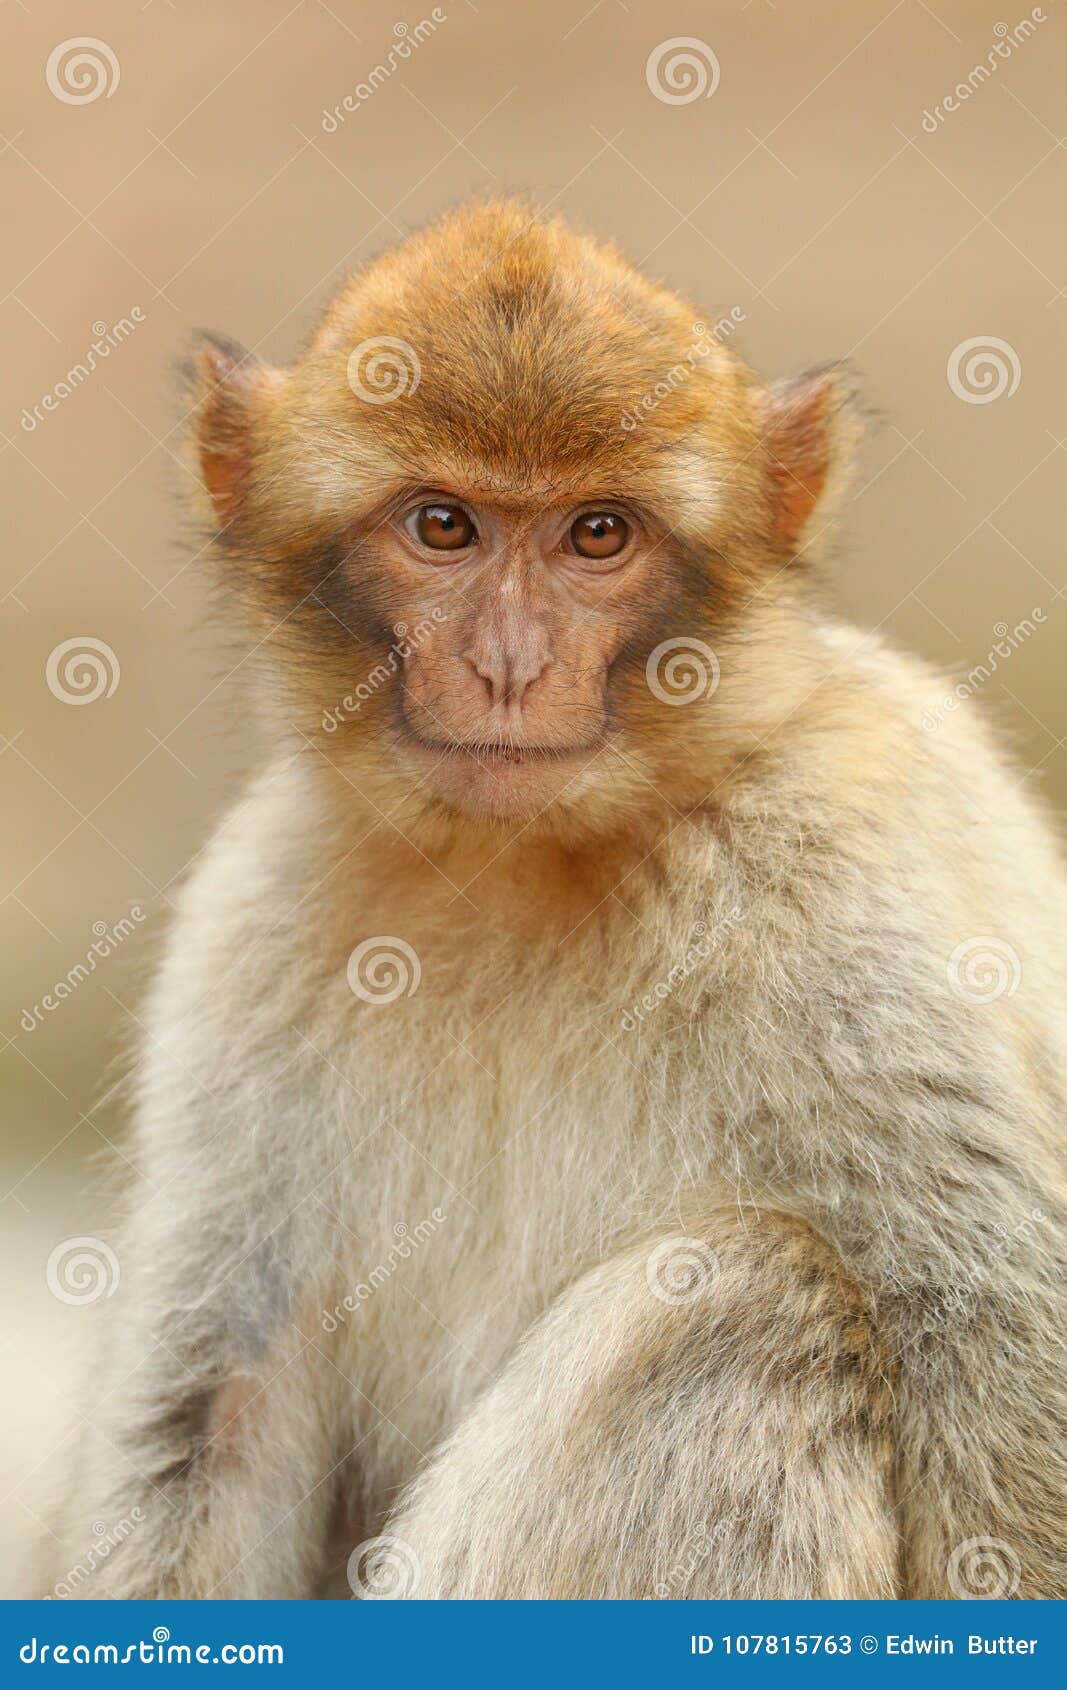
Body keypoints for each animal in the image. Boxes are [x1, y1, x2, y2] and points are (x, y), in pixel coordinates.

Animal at [51, 199, 1065, 1600]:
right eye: (443, 527)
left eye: (597, 534)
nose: (508, 664)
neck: (525, 864)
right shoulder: (255, 918)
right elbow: (208, 1404)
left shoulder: (852, 889)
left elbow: (997, 1337)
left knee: (749, 1290)